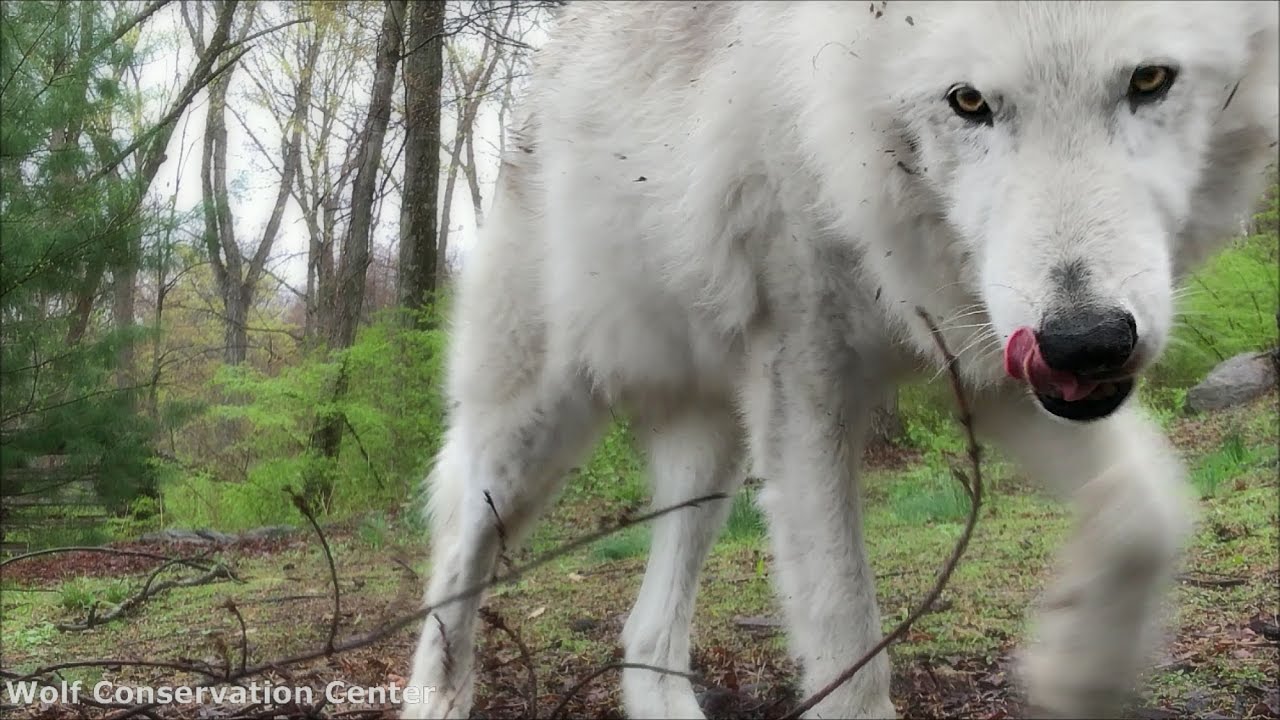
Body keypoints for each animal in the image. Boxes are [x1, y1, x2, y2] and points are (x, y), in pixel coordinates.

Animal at [402, 2, 1279, 718]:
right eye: (969, 102)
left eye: (1149, 80)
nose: (1087, 341)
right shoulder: (808, 385)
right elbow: (845, 643)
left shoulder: (993, 363)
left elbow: (1148, 516)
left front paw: (1076, 667)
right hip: (529, 440)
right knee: (451, 575)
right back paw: (436, 694)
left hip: (712, 463)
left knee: (646, 634)